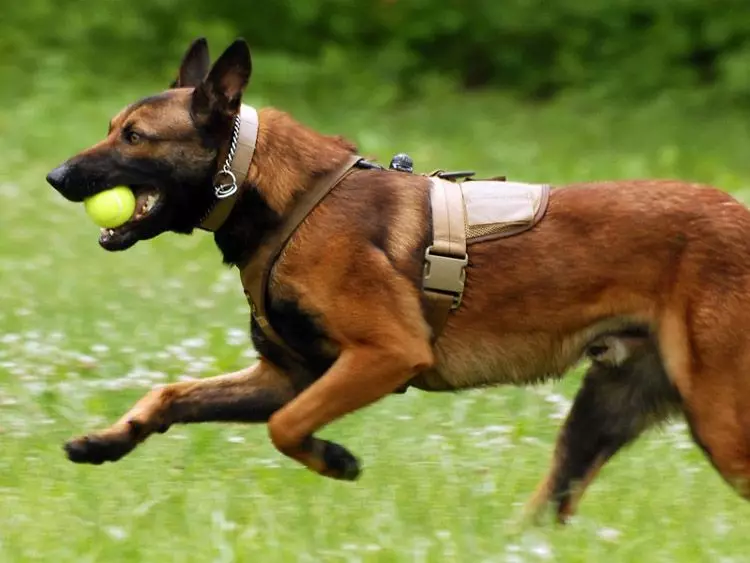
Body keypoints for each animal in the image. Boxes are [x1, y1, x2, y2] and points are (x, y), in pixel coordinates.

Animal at [44, 37, 750, 528]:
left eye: (135, 137)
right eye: (111, 128)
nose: (55, 175)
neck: (283, 195)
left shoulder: (383, 355)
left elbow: (286, 428)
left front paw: (334, 459)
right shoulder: (287, 375)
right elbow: (170, 394)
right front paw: (108, 440)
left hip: (718, 421)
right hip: (600, 414)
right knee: (552, 507)